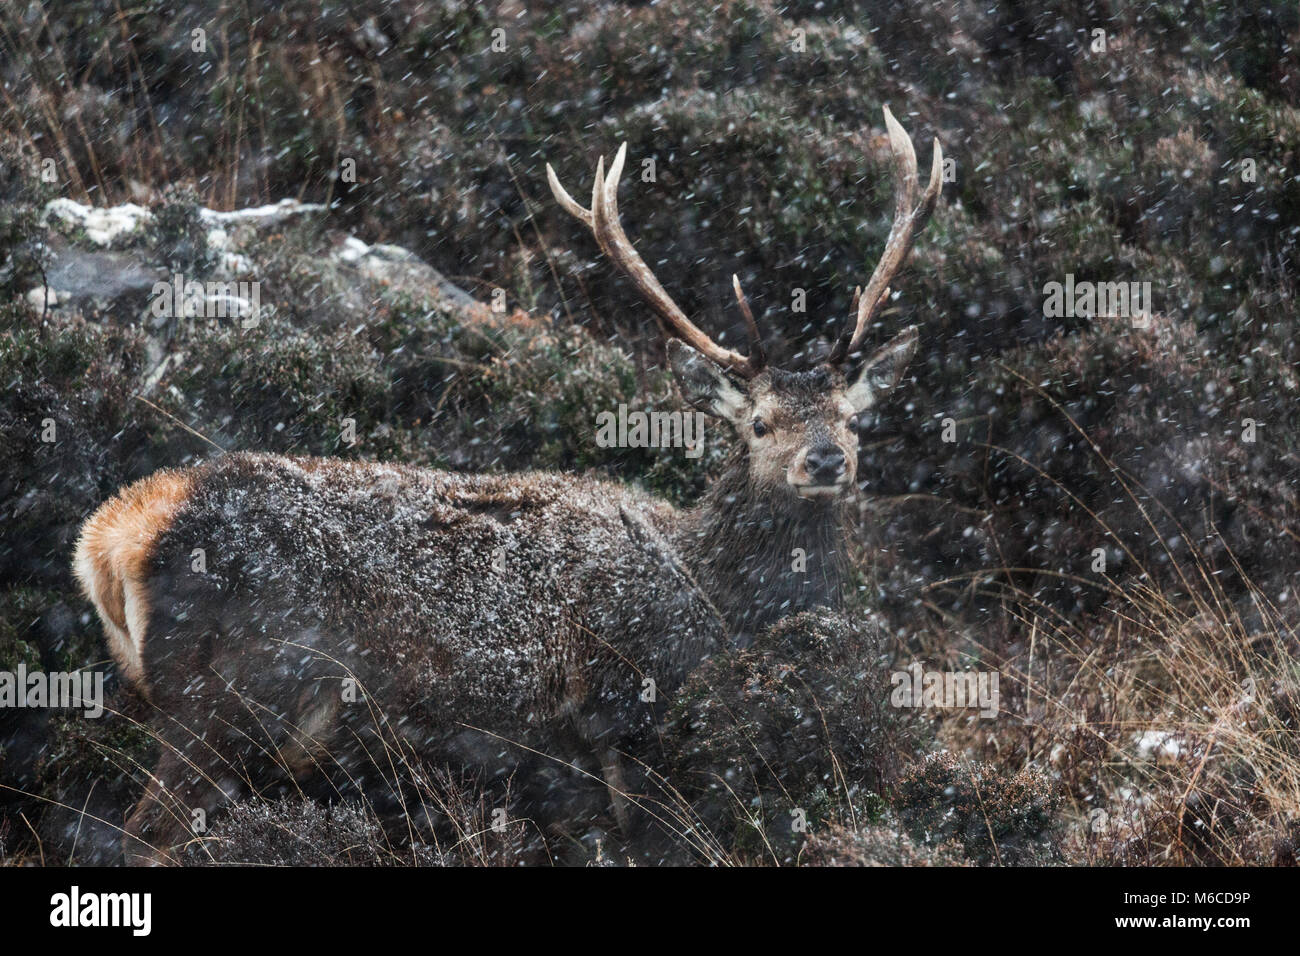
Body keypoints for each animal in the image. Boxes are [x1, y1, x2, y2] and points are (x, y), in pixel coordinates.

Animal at [73, 106, 941, 864]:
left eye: (853, 420)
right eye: (759, 423)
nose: (824, 461)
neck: (713, 600)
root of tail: (114, 535)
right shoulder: (621, 719)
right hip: (230, 696)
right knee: (140, 833)